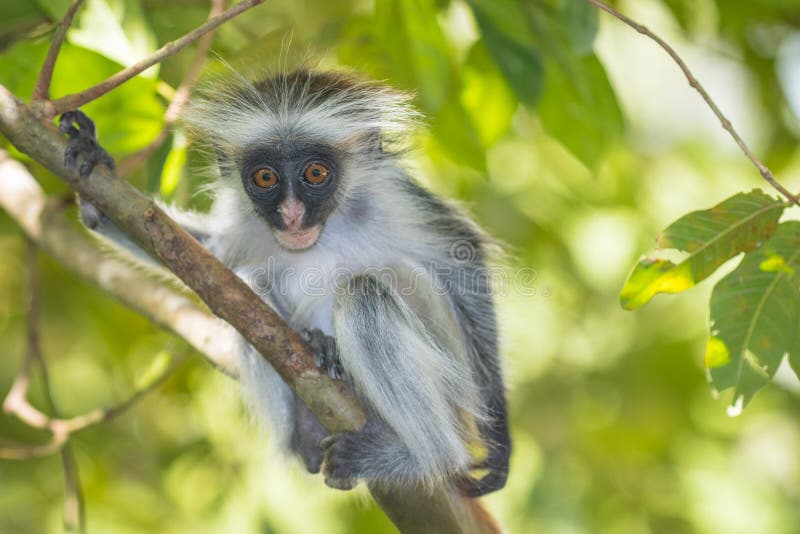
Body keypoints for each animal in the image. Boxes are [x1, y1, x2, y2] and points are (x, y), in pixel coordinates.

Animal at [61, 69, 511, 499]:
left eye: (315, 173)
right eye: (265, 178)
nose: (292, 214)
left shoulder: (394, 197)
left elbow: (460, 255)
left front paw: (500, 445)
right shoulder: (243, 219)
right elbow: (201, 254)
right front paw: (96, 175)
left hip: (453, 383)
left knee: (365, 291)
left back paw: (428, 457)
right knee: (248, 280)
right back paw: (310, 409)